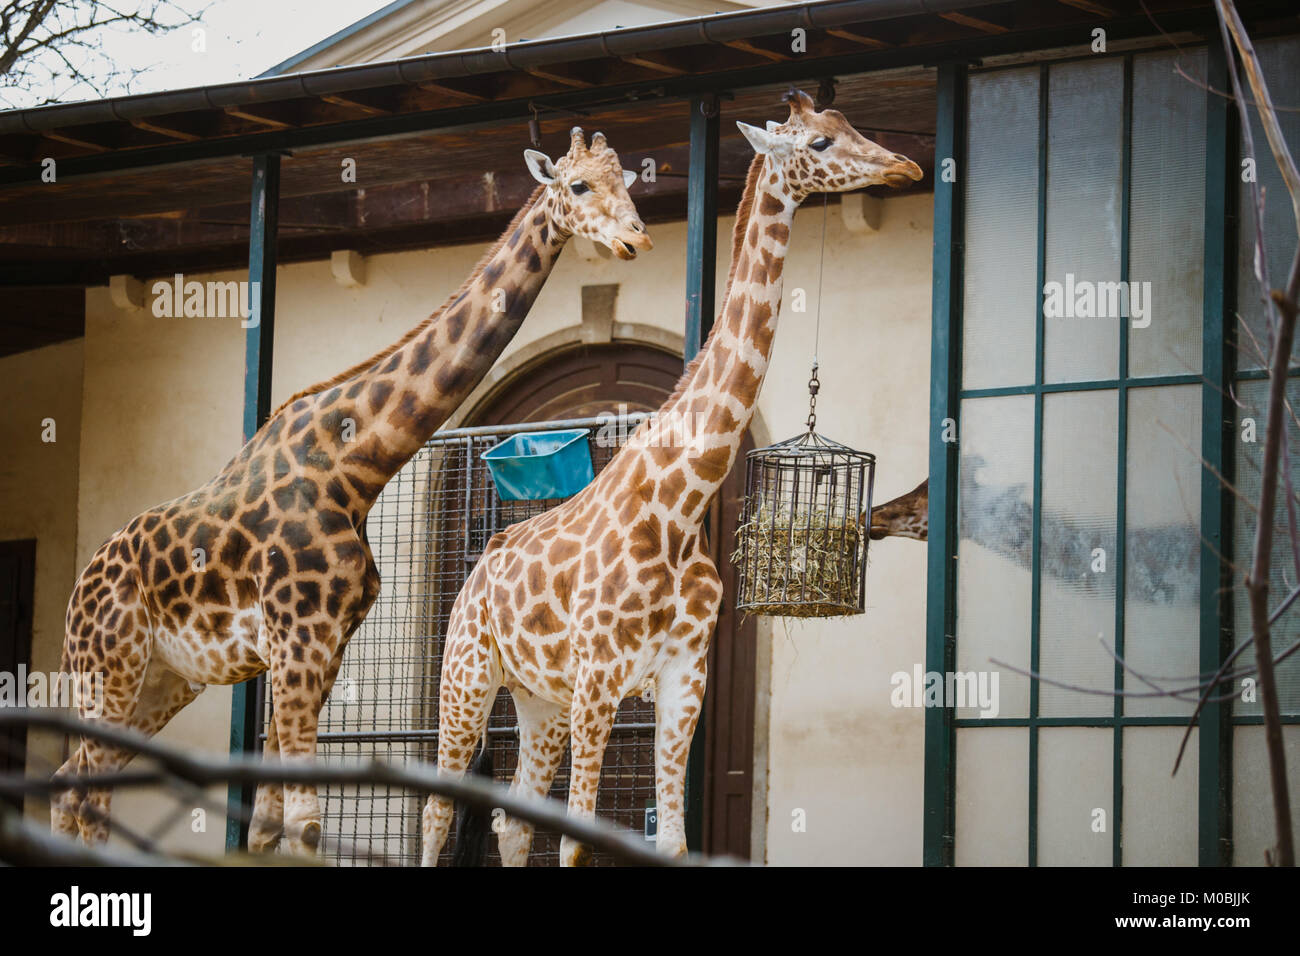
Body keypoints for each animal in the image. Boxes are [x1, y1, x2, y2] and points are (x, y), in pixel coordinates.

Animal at [51, 128, 651, 855]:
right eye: (579, 185)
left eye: (627, 180)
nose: (636, 238)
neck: (356, 465)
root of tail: (78, 591)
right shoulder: (297, 642)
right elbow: (307, 824)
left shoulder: (324, 647)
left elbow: (270, 825)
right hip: (106, 668)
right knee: (81, 792)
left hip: (165, 680)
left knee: (76, 786)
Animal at [421, 90, 923, 866]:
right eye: (819, 142)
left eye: (850, 126)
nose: (906, 165)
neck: (680, 504)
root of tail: (477, 566)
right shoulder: (599, 677)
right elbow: (578, 842)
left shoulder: (684, 676)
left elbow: (673, 839)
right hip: (469, 674)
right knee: (438, 810)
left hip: (539, 699)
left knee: (514, 819)